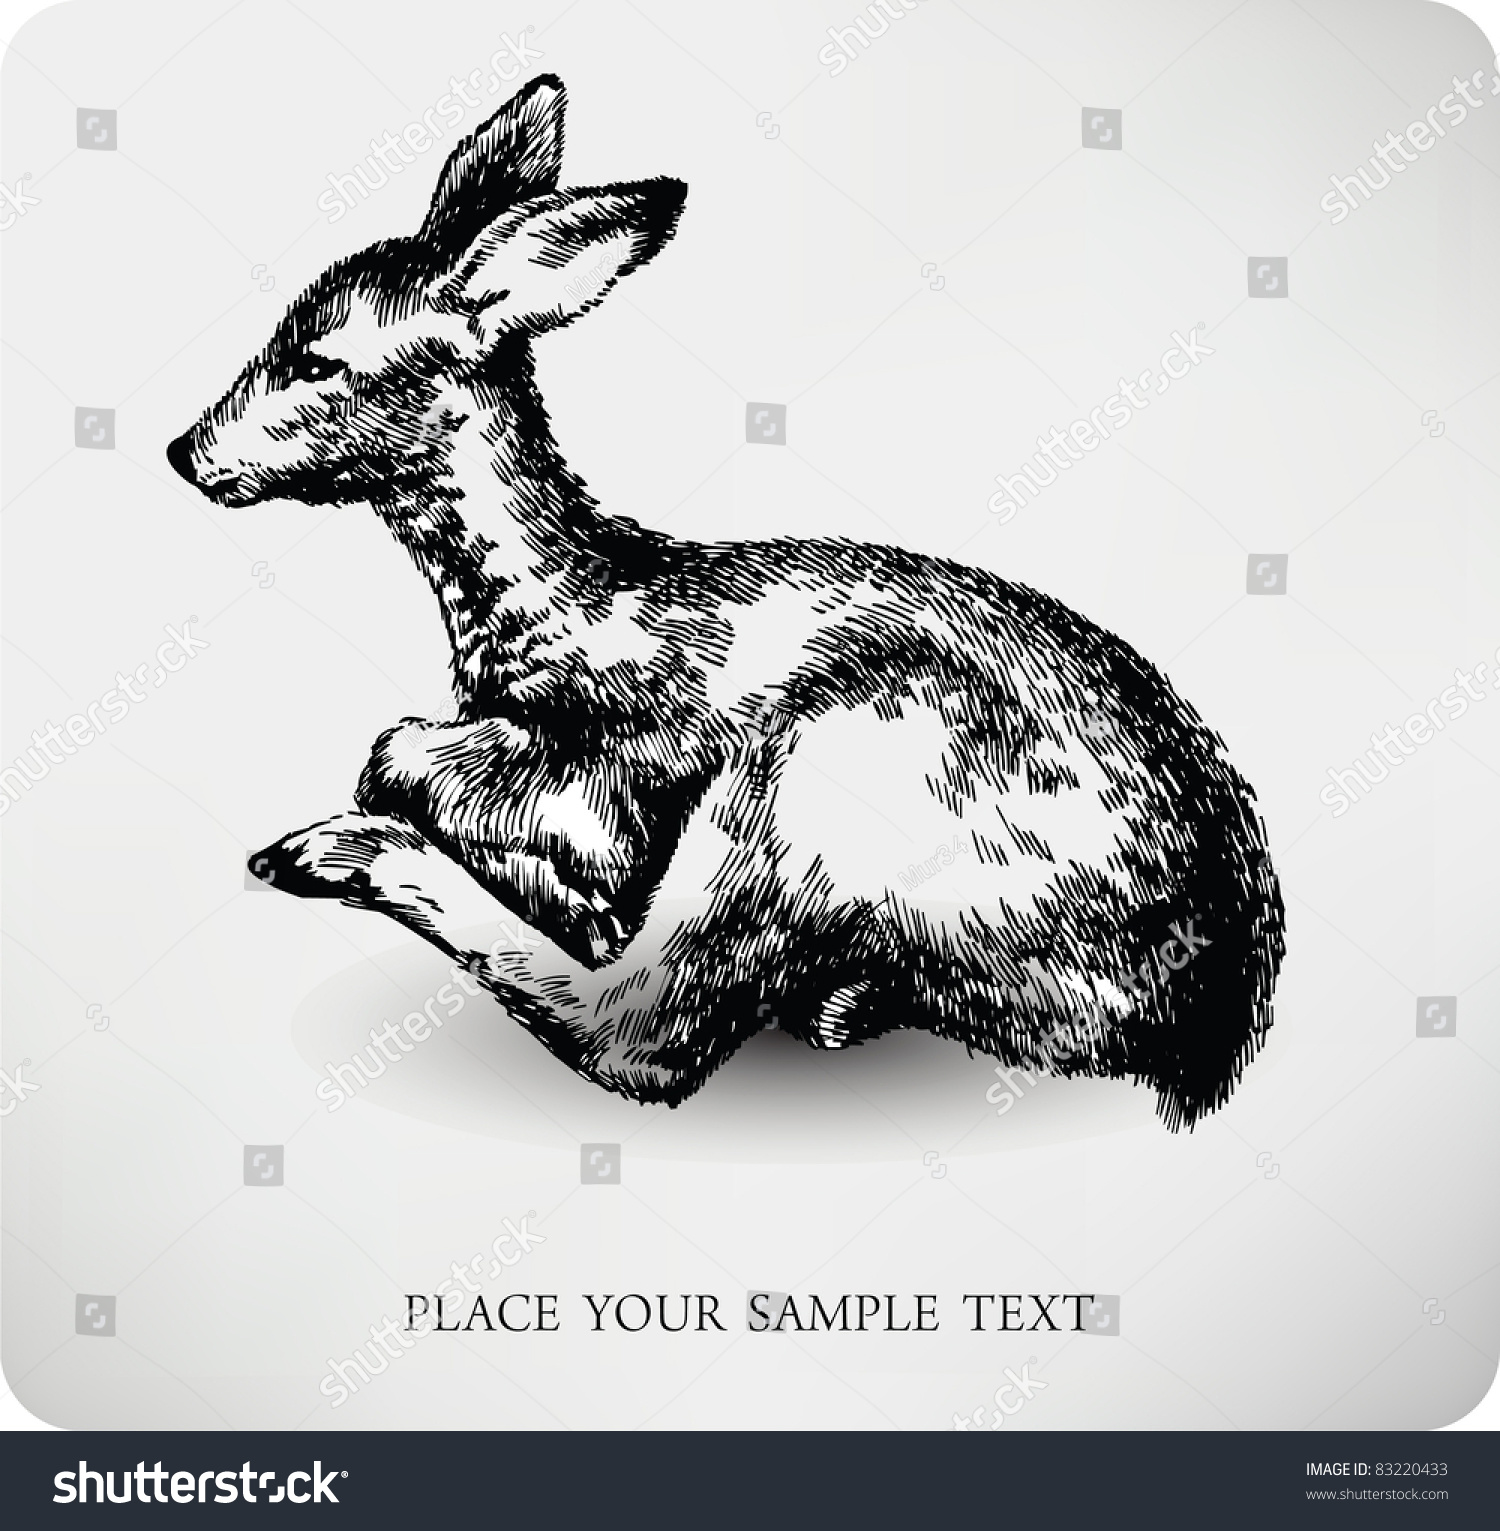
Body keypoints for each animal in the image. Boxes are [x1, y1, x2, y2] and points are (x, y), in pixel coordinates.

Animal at [167, 73, 1284, 1129]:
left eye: (318, 360)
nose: (186, 451)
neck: (567, 606)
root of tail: (1215, 1025)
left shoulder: (635, 741)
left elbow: (406, 752)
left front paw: (545, 858)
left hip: (820, 781)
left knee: (642, 1026)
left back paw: (334, 853)